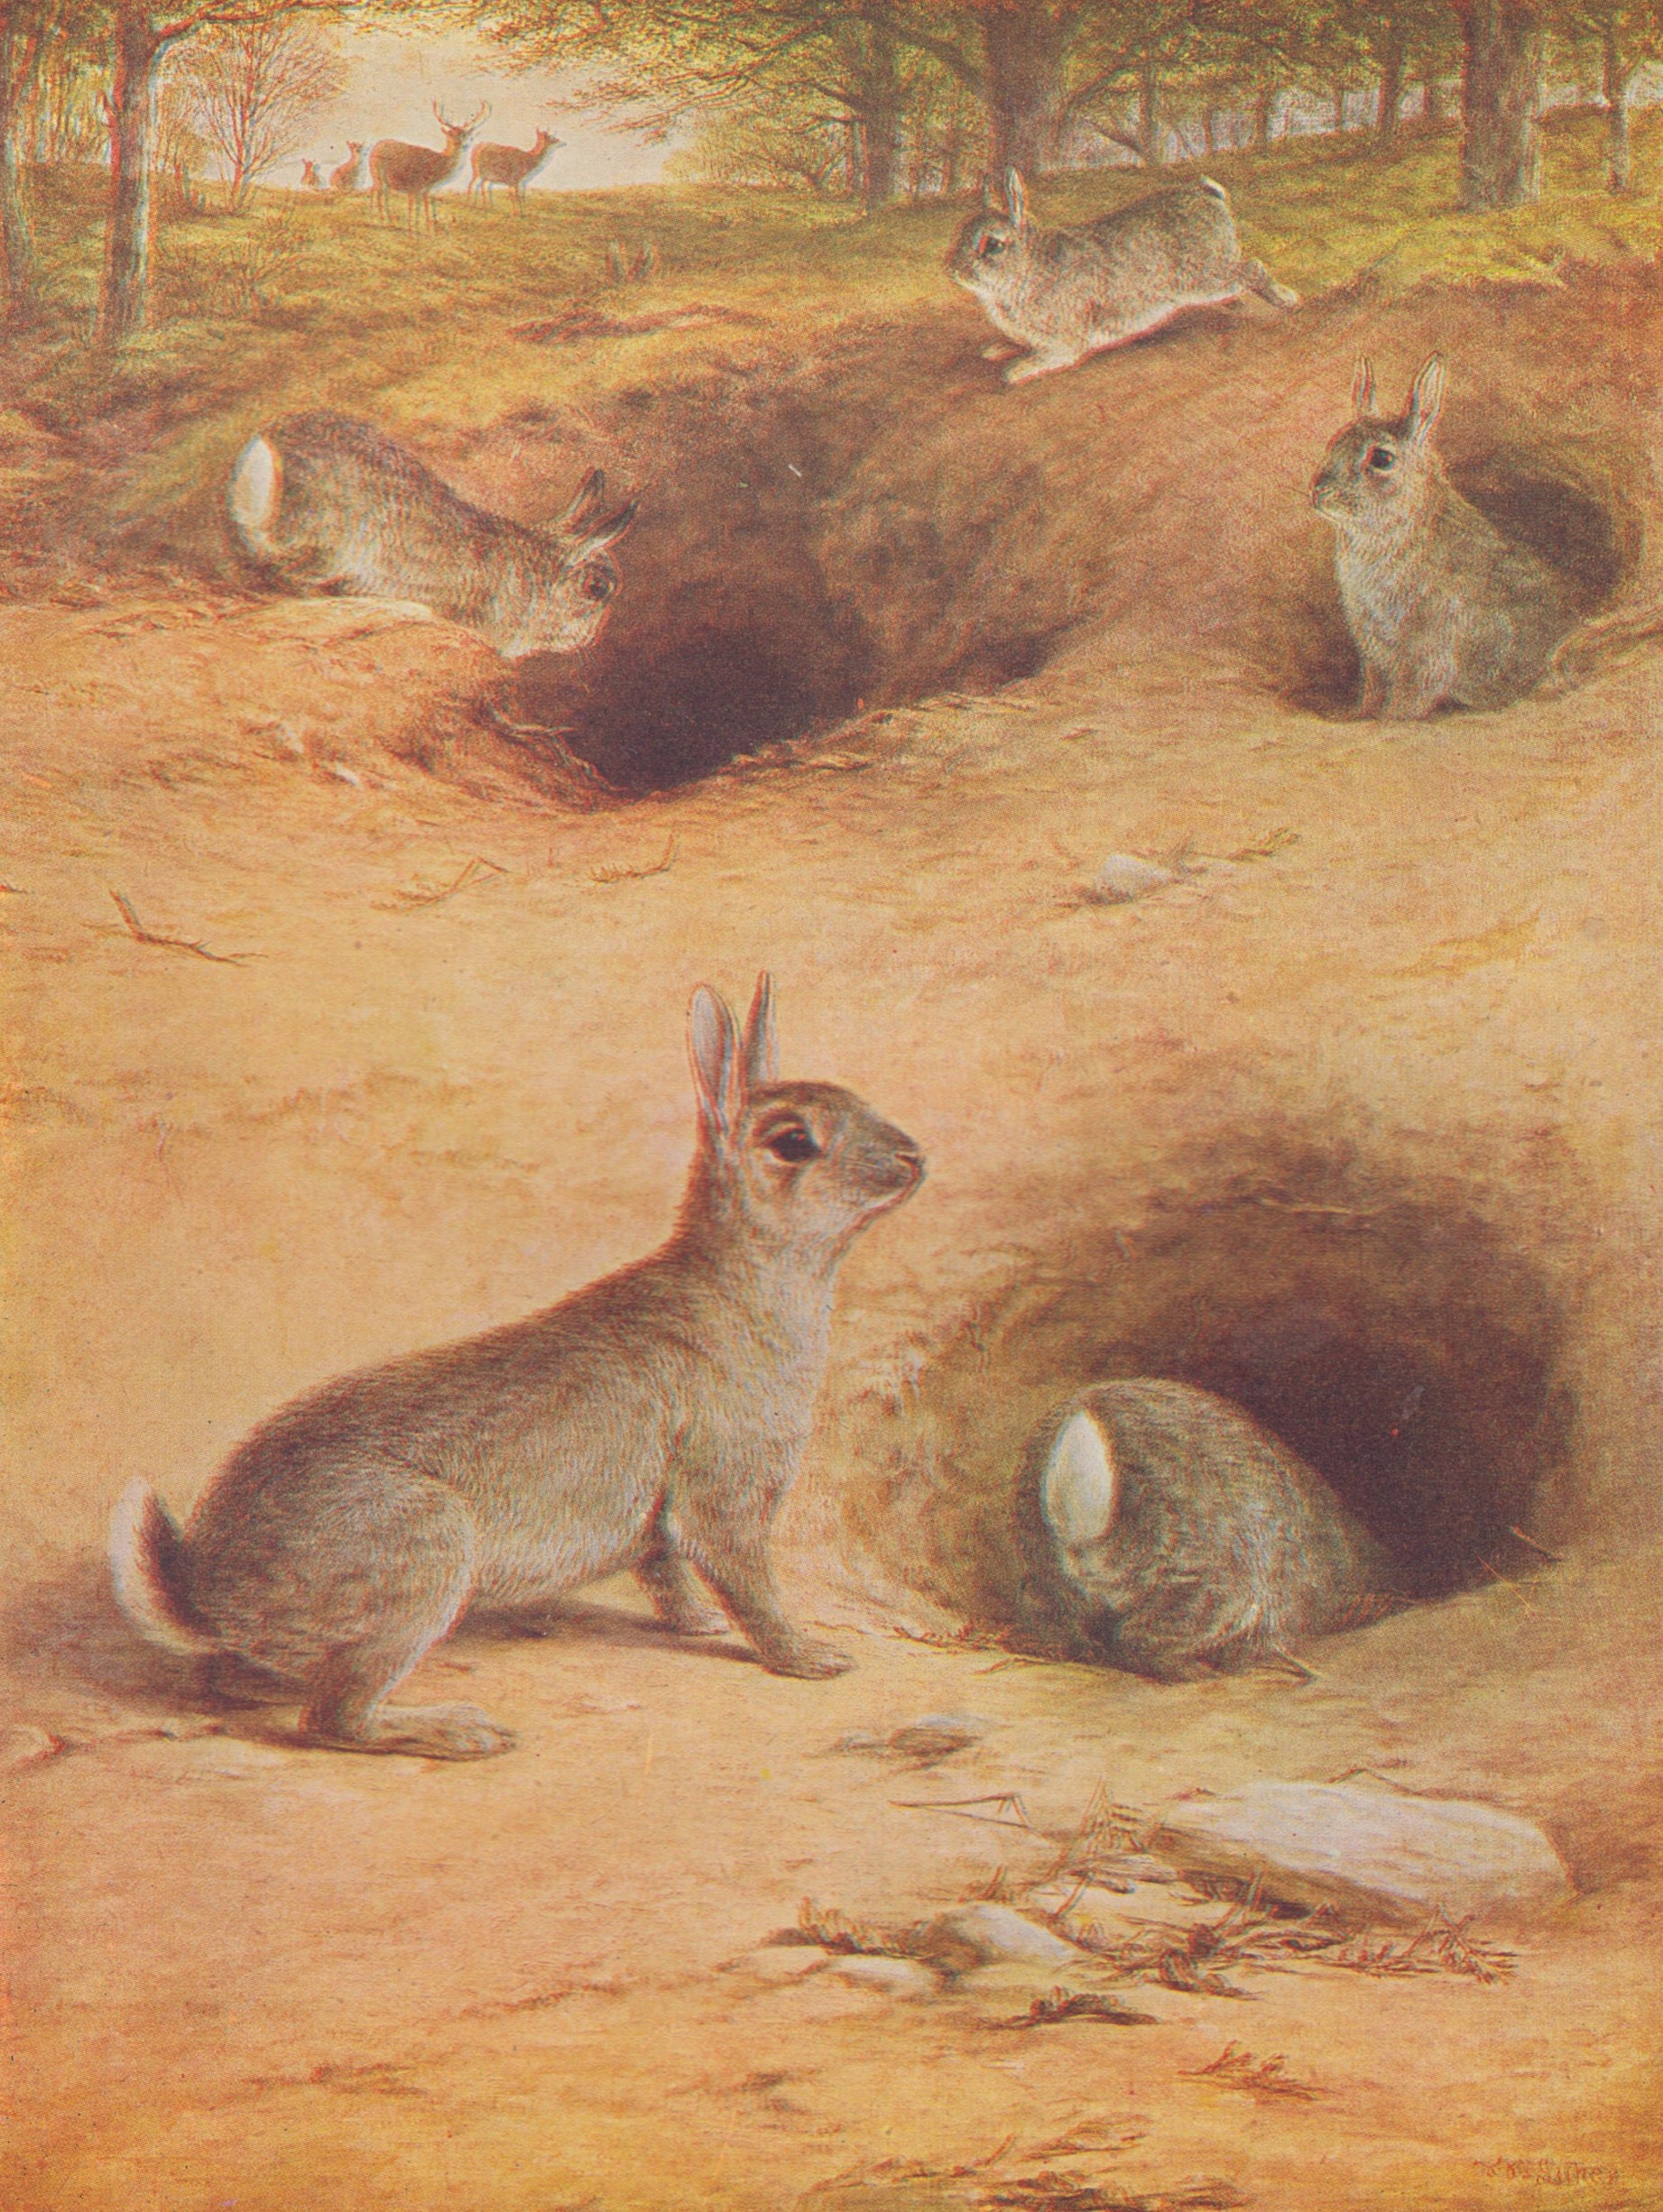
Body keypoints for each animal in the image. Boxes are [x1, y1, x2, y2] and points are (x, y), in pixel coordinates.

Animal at [109, 977, 925, 1759]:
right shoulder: (723, 1489)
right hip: (424, 1558)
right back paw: (463, 1733)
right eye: (793, 1143)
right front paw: (811, 1658)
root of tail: (211, 1602)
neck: (749, 1277)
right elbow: (747, 1583)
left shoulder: (663, 1517)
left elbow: (666, 1572)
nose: (915, 1158)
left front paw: (700, 1628)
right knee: (333, 1719)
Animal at [946, 168, 1298, 387]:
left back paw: (1288, 300)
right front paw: (995, 349)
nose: (952, 269)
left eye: (993, 245)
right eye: (961, 231)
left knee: (1252, 267)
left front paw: (1015, 370)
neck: (1030, 268)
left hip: (1201, 279)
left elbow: (1052, 355)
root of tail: (1210, 196)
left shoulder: (1065, 341)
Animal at [1311, 356, 1580, 719]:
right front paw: (1357, 716)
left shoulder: (1427, 652)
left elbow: (1407, 702)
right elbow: (1372, 693)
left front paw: (1389, 720)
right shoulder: (1373, 654)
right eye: (1334, 442)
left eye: (1382, 459)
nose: (1319, 492)